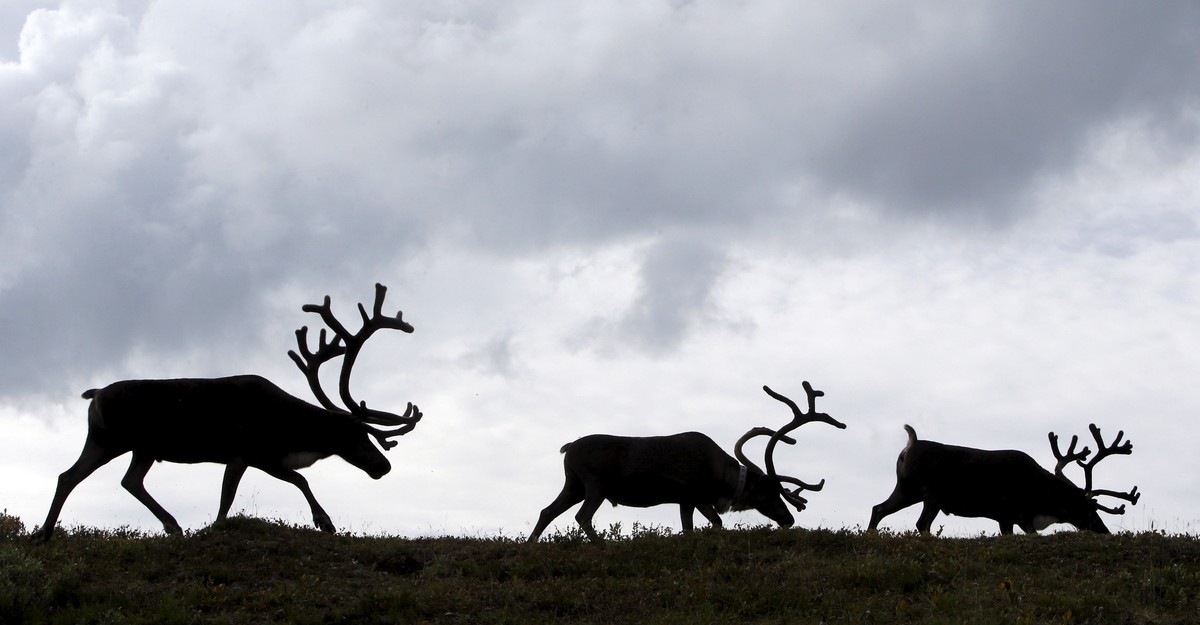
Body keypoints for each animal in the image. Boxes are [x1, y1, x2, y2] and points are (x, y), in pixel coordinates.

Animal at [33, 283, 423, 543]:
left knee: (87, 477)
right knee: (97, 478)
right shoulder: (246, 453)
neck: (293, 431)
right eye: (358, 433)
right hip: (121, 440)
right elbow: (242, 495)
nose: (383, 466)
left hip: (123, 444)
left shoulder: (261, 457)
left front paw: (324, 521)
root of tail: (94, 395)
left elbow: (290, 481)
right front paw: (323, 521)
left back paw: (49, 533)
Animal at [527, 382, 848, 543]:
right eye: (770, 492)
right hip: (596, 484)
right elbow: (703, 525)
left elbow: (703, 525)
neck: (722, 478)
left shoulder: (693, 500)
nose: (789, 519)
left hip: (574, 484)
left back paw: (530, 545)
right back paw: (602, 546)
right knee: (582, 516)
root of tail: (567, 449)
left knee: (547, 511)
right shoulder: (692, 495)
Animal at [867, 423, 1140, 535]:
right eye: (1090, 507)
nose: (1104, 531)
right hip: (931, 494)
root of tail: (909, 444)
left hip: (907, 490)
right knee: (921, 523)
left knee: (878, 508)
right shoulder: (1019, 514)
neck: (1044, 498)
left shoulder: (1004, 518)